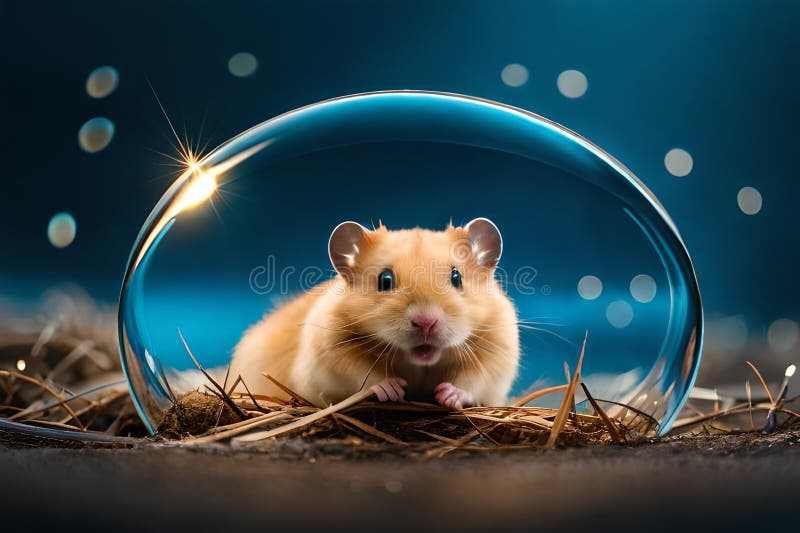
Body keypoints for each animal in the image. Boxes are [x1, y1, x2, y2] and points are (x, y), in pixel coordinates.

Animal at [230, 218, 520, 409]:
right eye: (384, 280)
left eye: (457, 277)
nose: (426, 322)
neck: (419, 362)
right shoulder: (329, 353)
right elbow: (363, 375)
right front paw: (393, 389)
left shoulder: (498, 352)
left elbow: (473, 379)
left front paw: (446, 394)